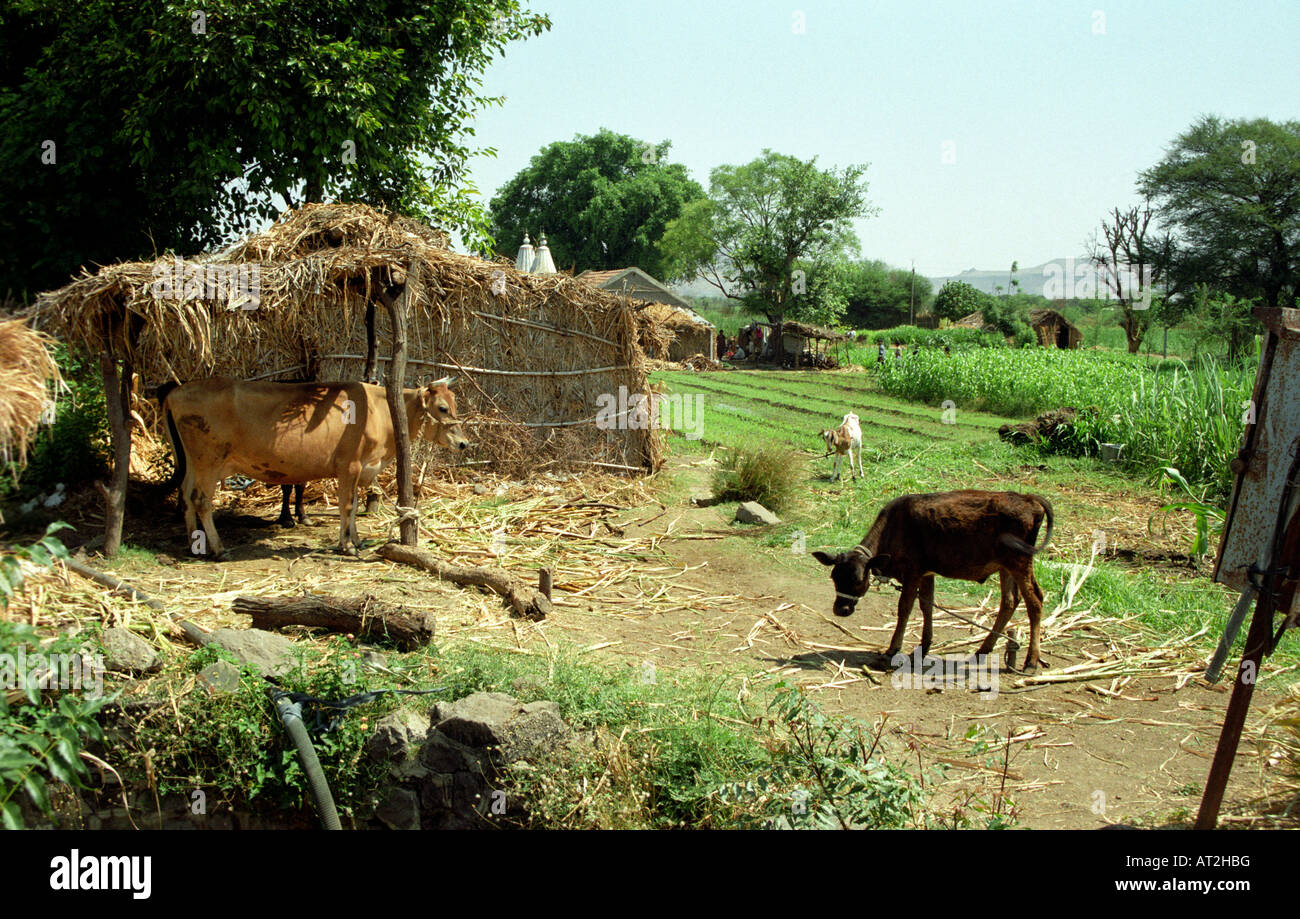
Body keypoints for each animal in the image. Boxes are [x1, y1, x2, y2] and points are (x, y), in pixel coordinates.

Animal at [159, 377, 470, 558]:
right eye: (442, 408)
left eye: (455, 403)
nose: (464, 443)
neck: (381, 412)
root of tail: (177, 391)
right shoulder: (349, 465)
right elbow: (346, 505)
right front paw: (347, 546)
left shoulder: (359, 469)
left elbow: (353, 507)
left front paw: (356, 540)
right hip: (209, 459)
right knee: (200, 499)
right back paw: (217, 547)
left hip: (194, 462)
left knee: (185, 495)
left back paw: (193, 543)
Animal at [812, 490, 1053, 671]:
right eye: (834, 577)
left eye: (858, 579)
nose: (840, 610)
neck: (894, 526)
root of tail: (1028, 498)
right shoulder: (927, 573)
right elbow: (926, 606)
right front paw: (923, 648)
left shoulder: (912, 573)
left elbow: (904, 608)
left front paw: (892, 649)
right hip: (1006, 566)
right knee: (1010, 601)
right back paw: (983, 650)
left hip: (1020, 560)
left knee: (1035, 601)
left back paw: (1031, 661)